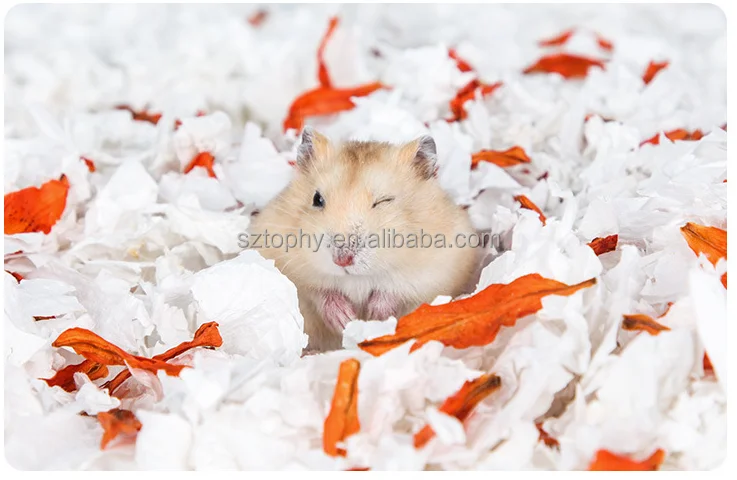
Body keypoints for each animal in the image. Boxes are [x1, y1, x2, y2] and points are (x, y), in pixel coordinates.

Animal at [249, 128, 482, 352]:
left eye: (384, 201)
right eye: (317, 199)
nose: (342, 260)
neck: (357, 279)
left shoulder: (435, 271)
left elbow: (394, 290)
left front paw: (374, 318)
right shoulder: (287, 266)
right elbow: (317, 291)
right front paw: (345, 319)